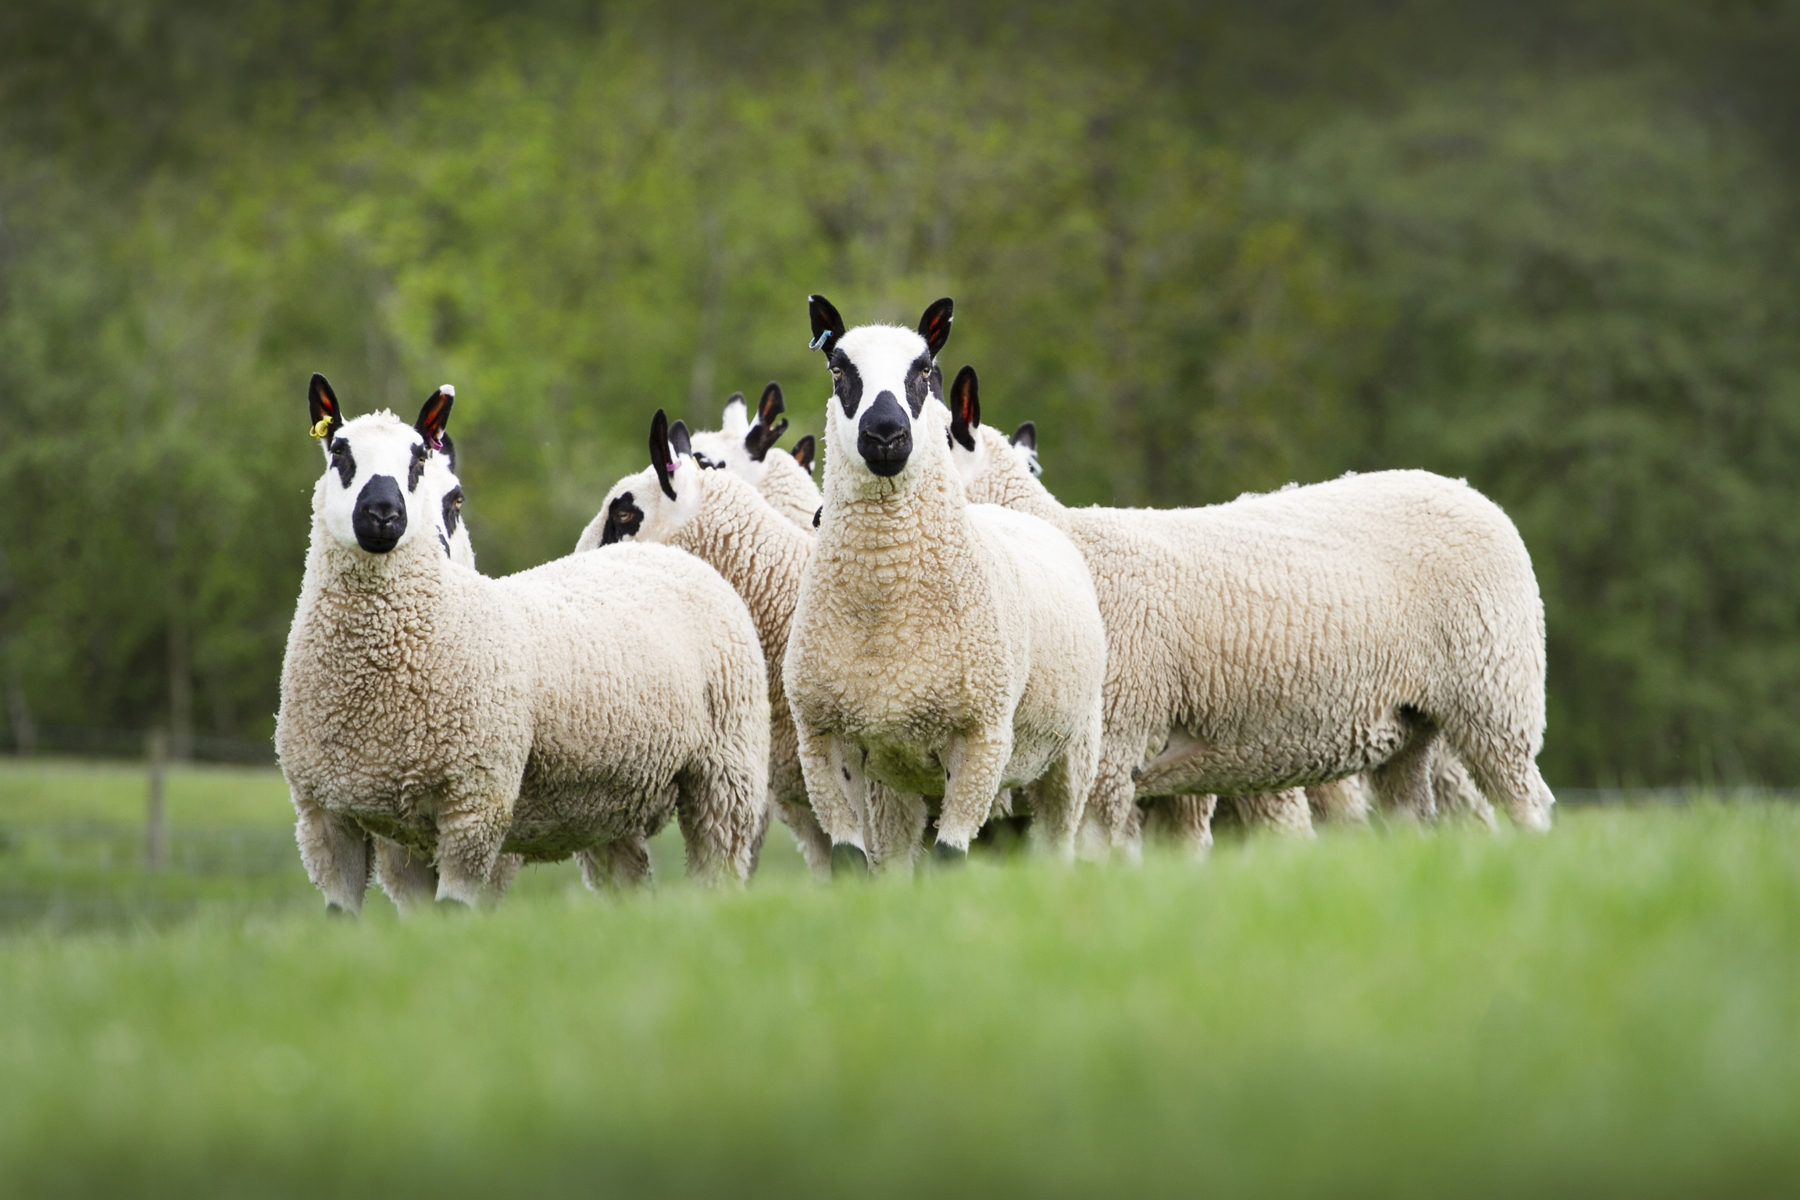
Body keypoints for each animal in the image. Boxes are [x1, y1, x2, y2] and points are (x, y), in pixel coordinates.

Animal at [276, 373, 771, 913]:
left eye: (417, 459)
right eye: (339, 453)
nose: (383, 513)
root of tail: (669, 556)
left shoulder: (476, 806)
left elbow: (456, 910)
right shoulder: (328, 818)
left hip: (726, 774)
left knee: (719, 866)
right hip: (610, 798)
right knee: (628, 879)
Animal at [782, 295, 1109, 871]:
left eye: (923, 369)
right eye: (839, 370)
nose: (885, 434)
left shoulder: (980, 739)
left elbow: (950, 860)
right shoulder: (822, 738)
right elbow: (849, 863)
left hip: (1070, 755)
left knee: (1054, 841)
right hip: (897, 781)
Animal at [946, 393, 1553, 858]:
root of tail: (1468, 491)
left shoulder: (1113, 742)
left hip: (1492, 694)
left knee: (1525, 800)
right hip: (1411, 725)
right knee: (1416, 815)